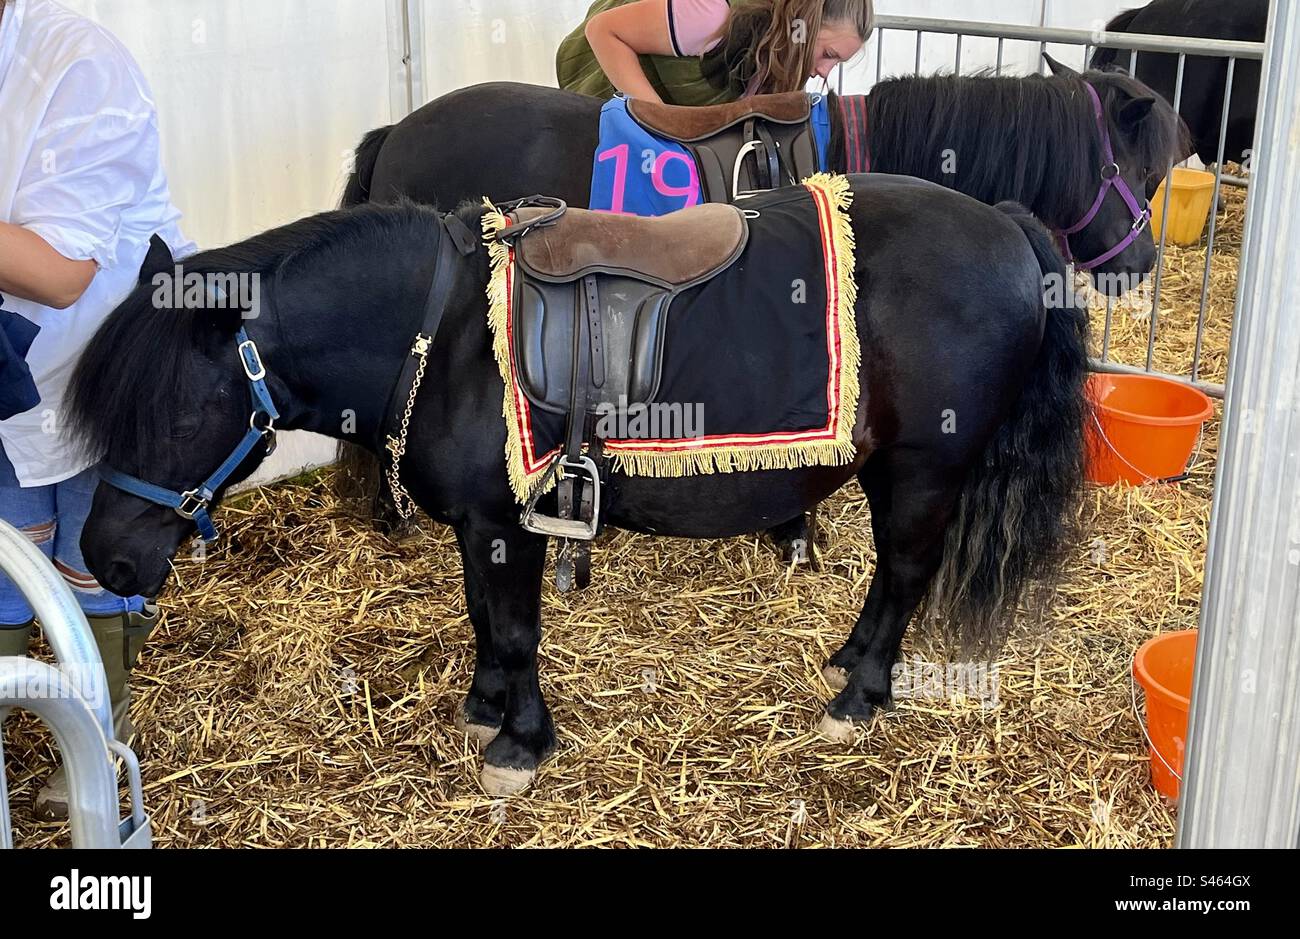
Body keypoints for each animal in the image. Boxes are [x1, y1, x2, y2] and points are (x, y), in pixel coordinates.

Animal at [68, 174, 1090, 796]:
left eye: (173, 417)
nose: (102, 557)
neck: (448, 335)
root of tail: (1008, 227)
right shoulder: (481, 521)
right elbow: (484, 618)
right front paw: (485, 707)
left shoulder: (510, 520)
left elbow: (517, 628)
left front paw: (519, 744)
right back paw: (847, 662)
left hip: (921, 469)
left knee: (906, 573)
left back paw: (859, 697)